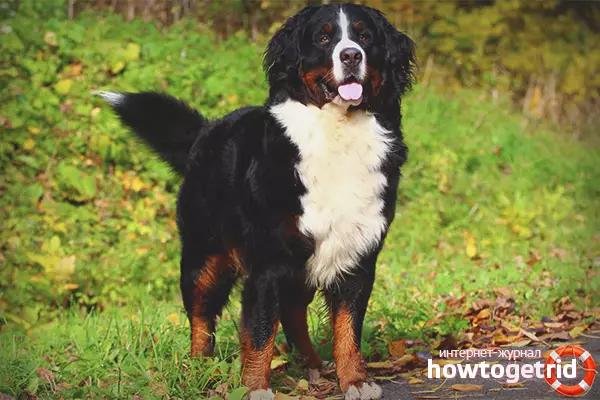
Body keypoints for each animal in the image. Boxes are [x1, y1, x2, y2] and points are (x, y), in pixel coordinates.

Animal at [97, 2, 418, 396]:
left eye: (364, 36)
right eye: (324, 38)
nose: (351, 55)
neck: (338, 133)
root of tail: (206, 131)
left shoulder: (356, 255)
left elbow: (347, 330)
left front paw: (355, 379)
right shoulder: (270, 261)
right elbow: (261, 330)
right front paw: (254, 386)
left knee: (293, 314)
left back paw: (314, 366)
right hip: (205, 256)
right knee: (201, 318)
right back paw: (199, 369)